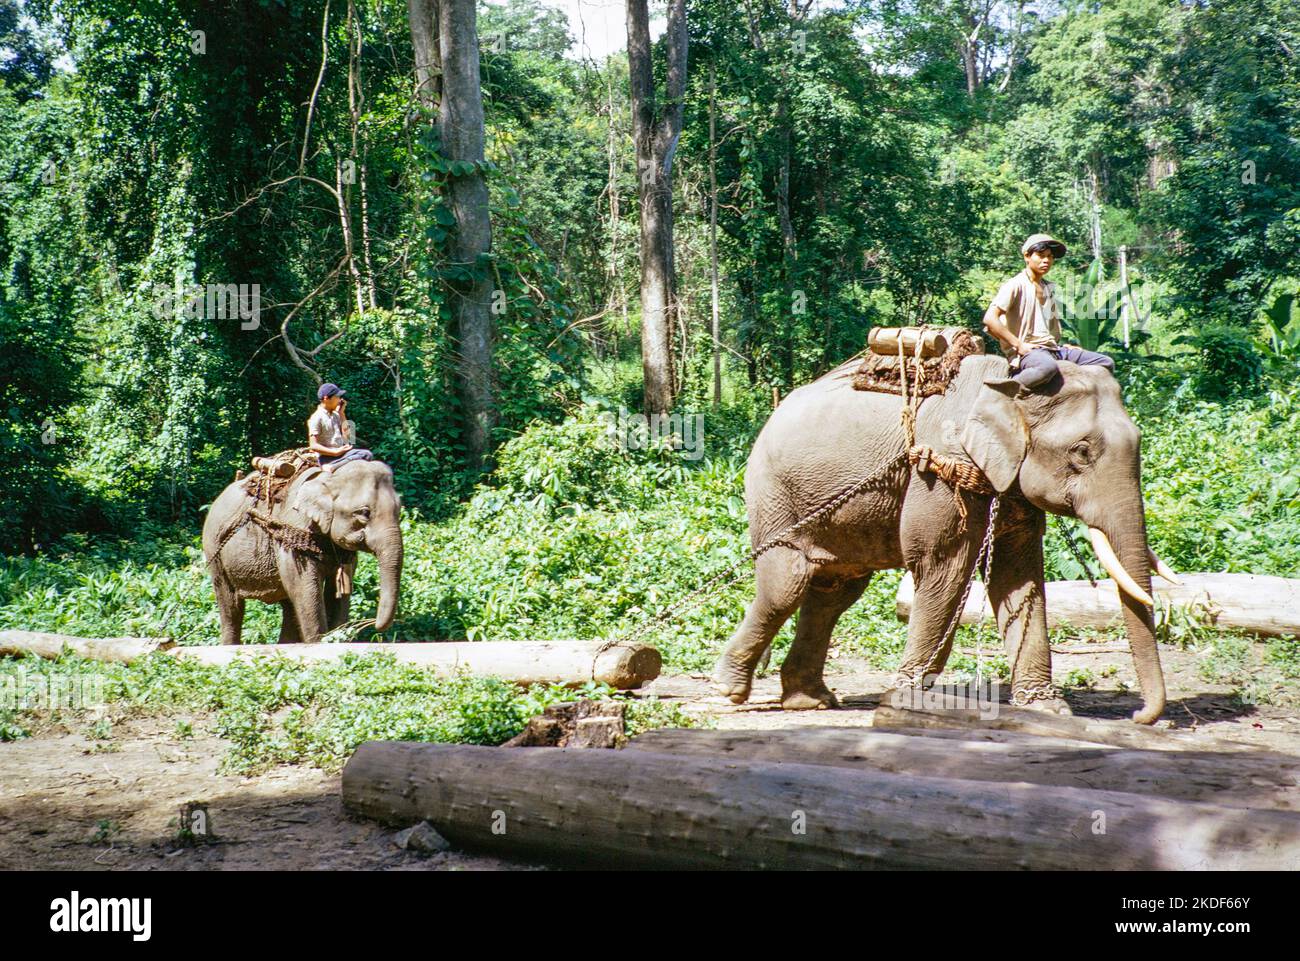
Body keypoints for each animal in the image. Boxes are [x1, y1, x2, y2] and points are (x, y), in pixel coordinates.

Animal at [201, 460, 403, 645]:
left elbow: (337, 591)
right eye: (363, 513)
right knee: (231, 604)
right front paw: (319, 643)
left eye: (399, 509)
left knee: (288, 605)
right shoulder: (293, 532)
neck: (328, 478)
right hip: (214, 548)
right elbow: (306, 588)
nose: (375, 626)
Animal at [711, 349, 1173, 724]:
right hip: (774, 493)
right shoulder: (938, 473)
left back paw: (812, 701)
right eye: (1081, 452)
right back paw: (729, 691)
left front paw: (1049, 709)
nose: (1137, 715)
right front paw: (908, 700)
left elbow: (1017, 580)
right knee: (786, 584)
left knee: (835, 592)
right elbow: (943, 572)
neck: (1009, 385)